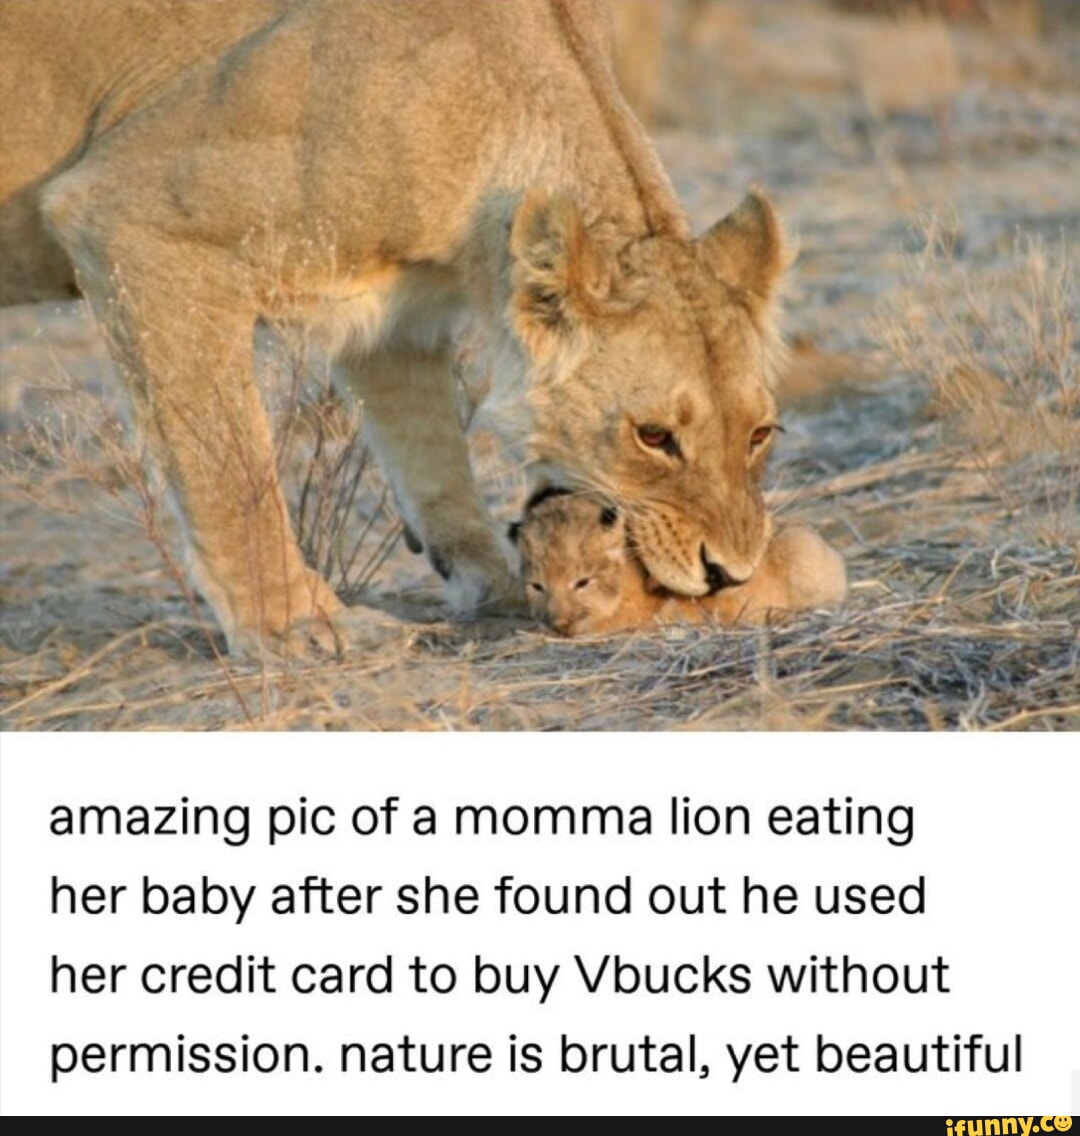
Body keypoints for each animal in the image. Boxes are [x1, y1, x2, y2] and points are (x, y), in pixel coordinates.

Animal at [0, 0, 789, 656]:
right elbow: (228, 467)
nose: (729, 573)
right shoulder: (133, 221)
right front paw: (299, 631)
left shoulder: (394, 317)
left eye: (758, 434)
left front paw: (499, 584)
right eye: (653, 436)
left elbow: (432, 454)